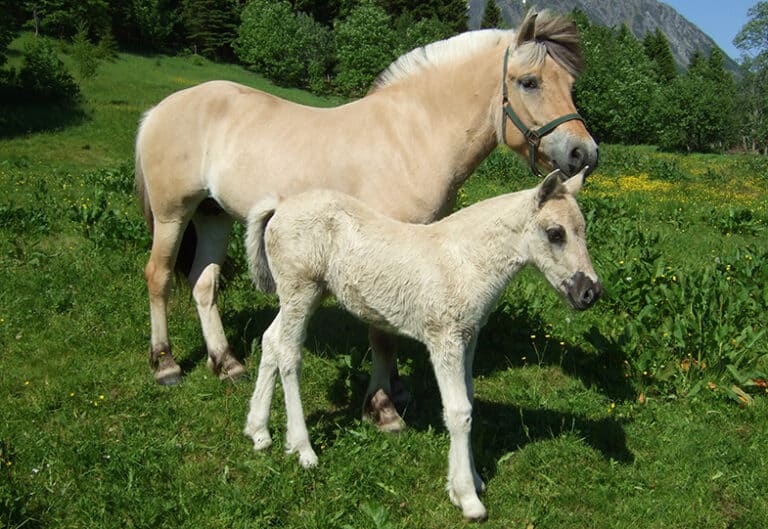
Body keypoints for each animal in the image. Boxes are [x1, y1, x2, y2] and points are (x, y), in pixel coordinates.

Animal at [134, 10, 598, 431]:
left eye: (570, 84)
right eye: (530, 82)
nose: (584, 154)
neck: (412, 136)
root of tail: (158, 110)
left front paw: (396, 389)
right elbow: (381, 334)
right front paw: (383, 409)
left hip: (213, 216)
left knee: (204, 283)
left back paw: (226, 362)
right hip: (174, 214)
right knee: (158, 276)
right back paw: (166, 364)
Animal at [242, 167, 600, 521]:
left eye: (582, 229)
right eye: (555, 233)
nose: (590, 293)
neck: (465, 260)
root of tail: (280, 206)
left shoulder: (469, 337)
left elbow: (468, 399)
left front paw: (470, 481)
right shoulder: (444, 340)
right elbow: (459, 411)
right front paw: (468, 498)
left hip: (306, 295)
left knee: (271, 341)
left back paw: (259, 431)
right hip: (300, 291)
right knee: (289, 354)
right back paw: (302, 448)